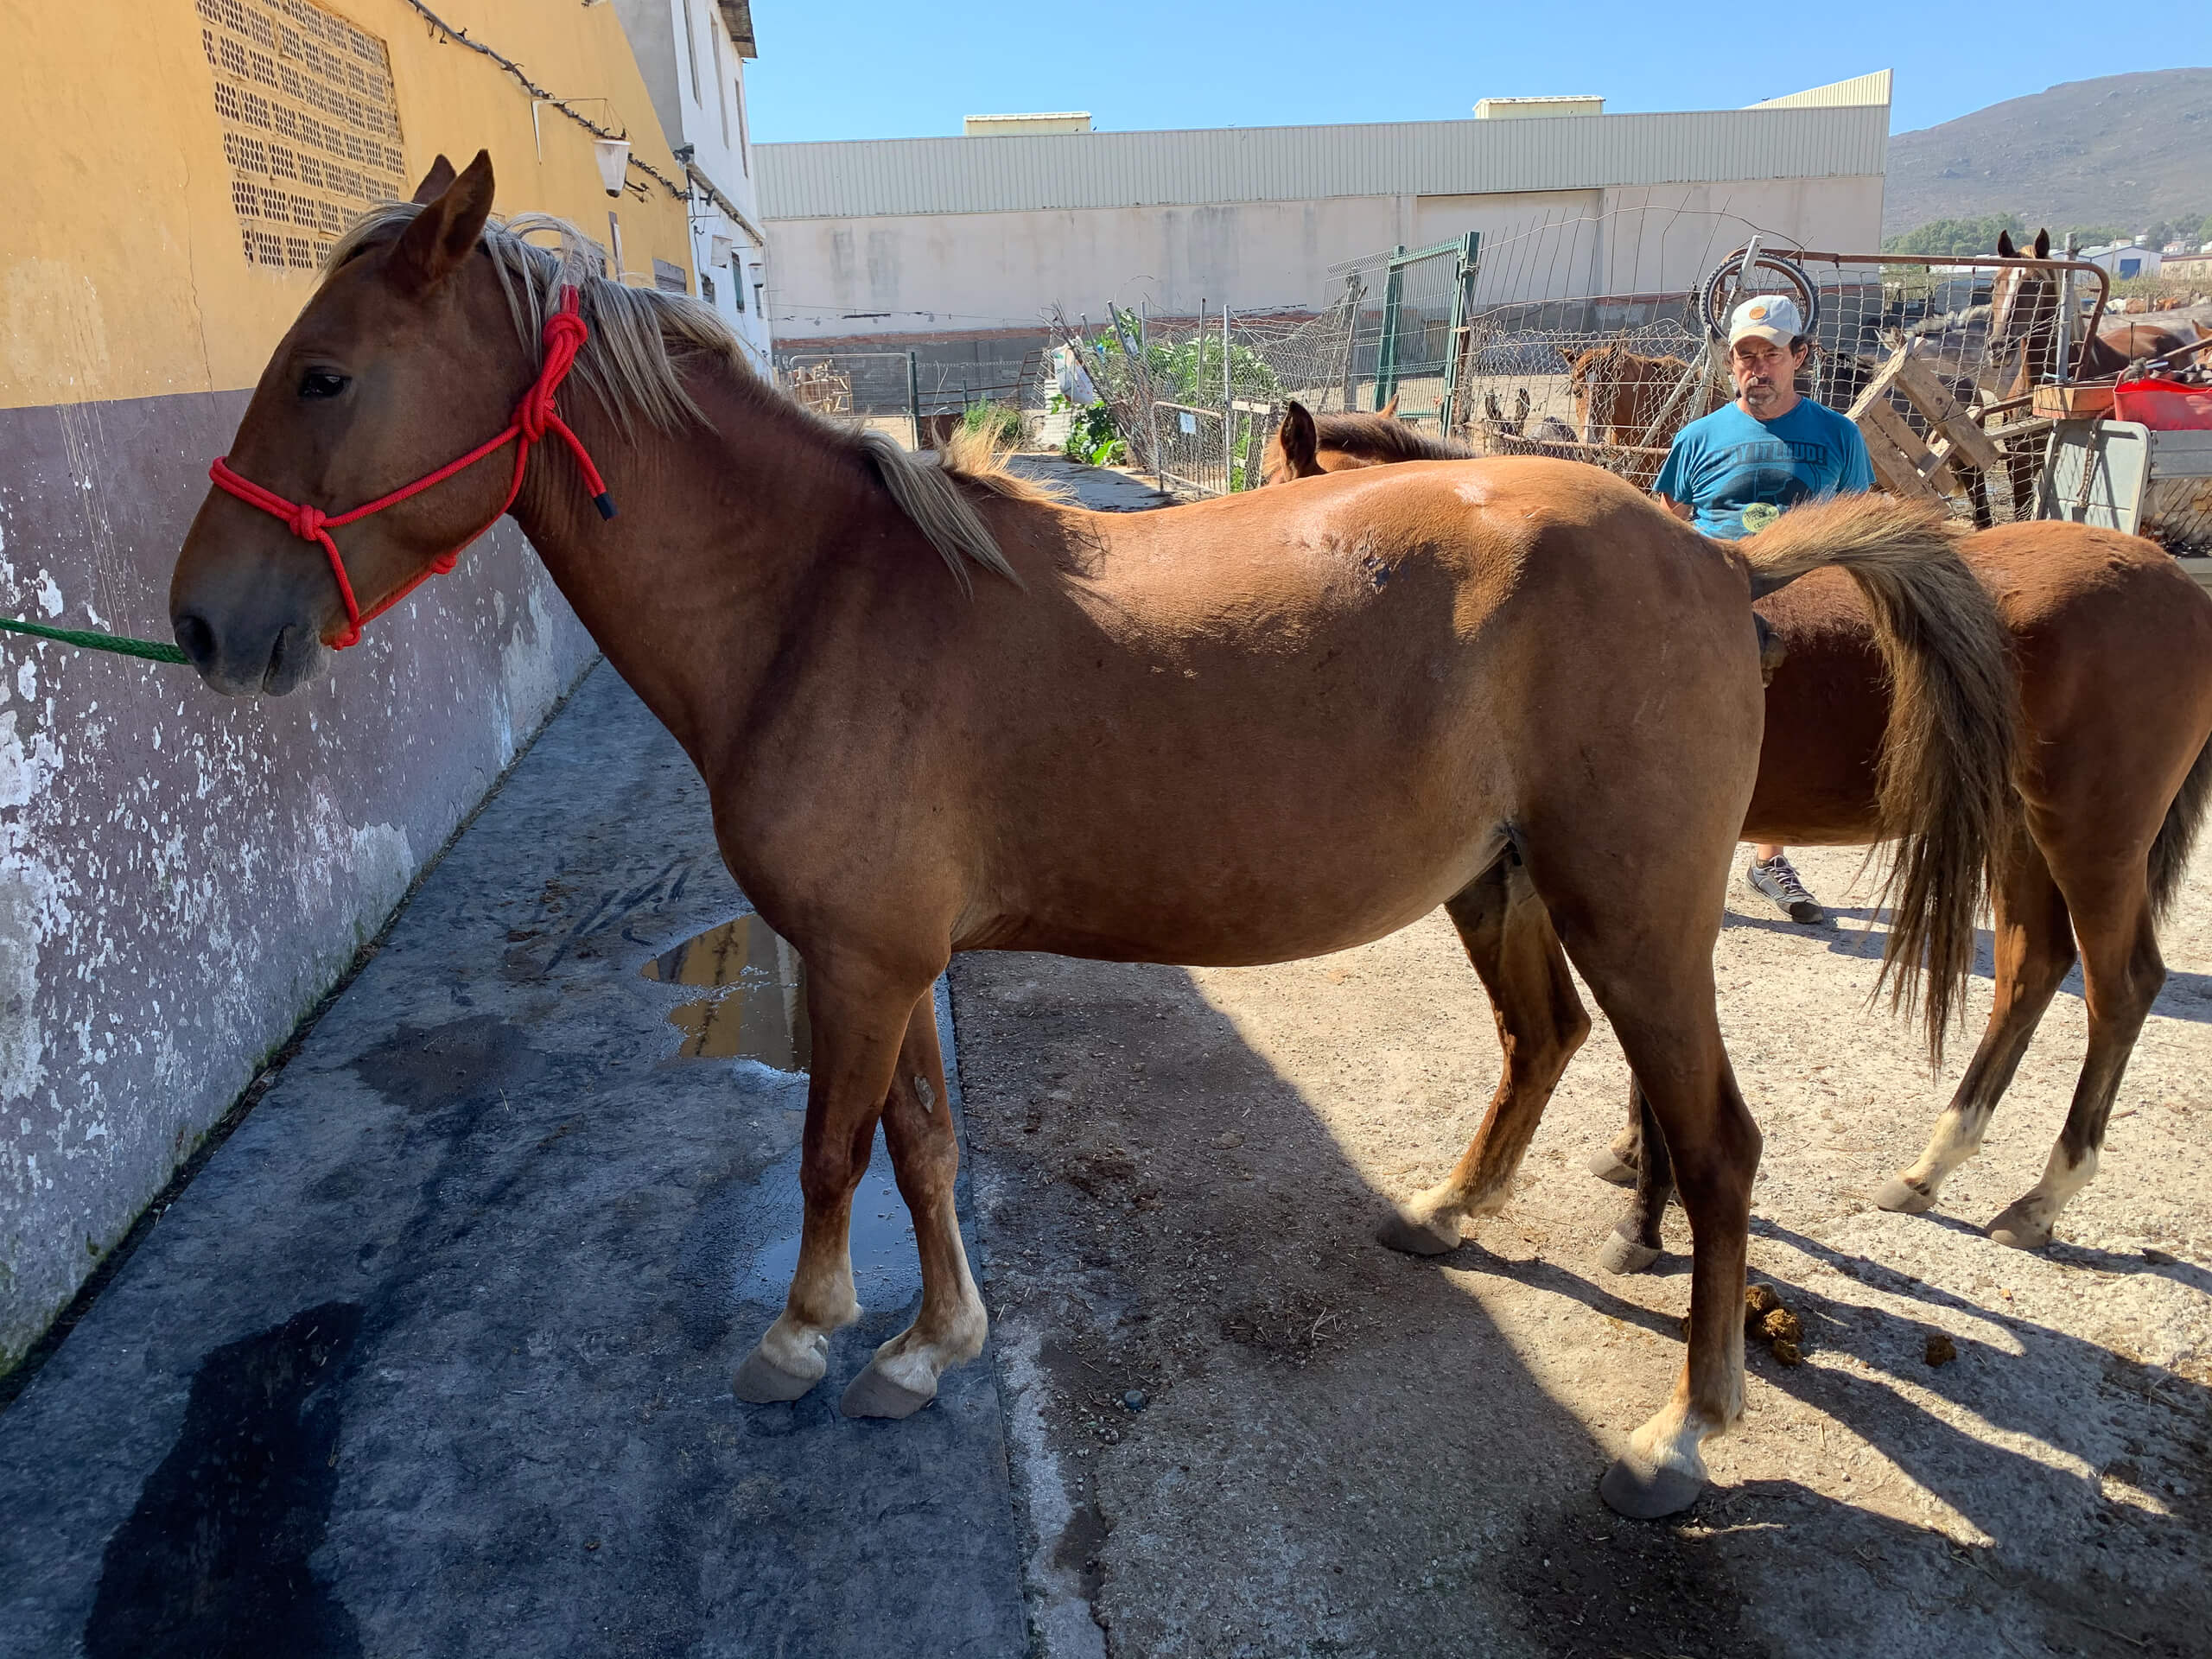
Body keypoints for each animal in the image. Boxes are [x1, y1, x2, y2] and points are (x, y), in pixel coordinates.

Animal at [168, 152, 2019, 1521]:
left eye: (324, 375)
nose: (202, 622)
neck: (816, 604)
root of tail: (1717, 558)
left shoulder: (858, 963)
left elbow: (831, 1153)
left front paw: (804, 1340)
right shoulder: (890, 959)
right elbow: (921, 1145)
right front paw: (929, 1349)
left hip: (1635, 914)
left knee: (1715, 1150)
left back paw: (1682, 1435)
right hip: (1506, 889)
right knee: (1542, 1044)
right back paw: (1445, 1212)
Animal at [1259, 405, 2212, 1261]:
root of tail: (2179, 585)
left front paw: (1642, 1219)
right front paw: (1635, 1165)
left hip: (2094, 838)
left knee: (2120, 987)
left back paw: (2041, 1199)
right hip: (2021, 831)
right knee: (2029, 971)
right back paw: (1927, 1171)